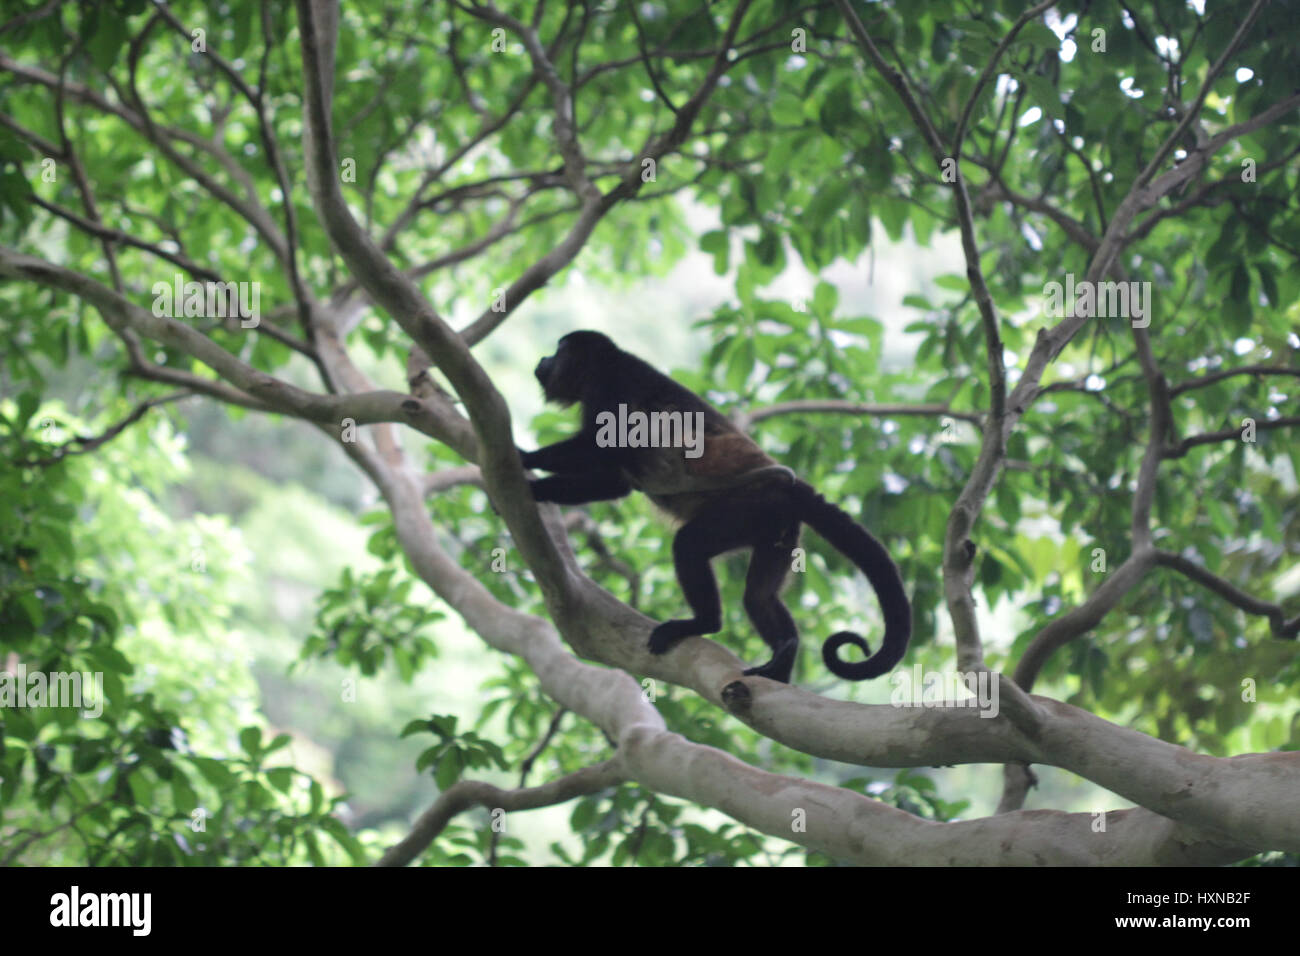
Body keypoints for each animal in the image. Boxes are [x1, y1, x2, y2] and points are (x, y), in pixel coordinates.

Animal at [519, 330, 911, 684]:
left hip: (745, 508)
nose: (543, 359)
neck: (602, 366)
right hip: (779, 527)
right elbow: (614, 481)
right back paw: (783, 655)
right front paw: (536, 487)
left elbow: (603, 447)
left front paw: (526, 460)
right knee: (758, 598)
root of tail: (791, 487)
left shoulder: (609, 387)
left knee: (689, 545)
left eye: (558, 351)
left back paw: (704, 622)